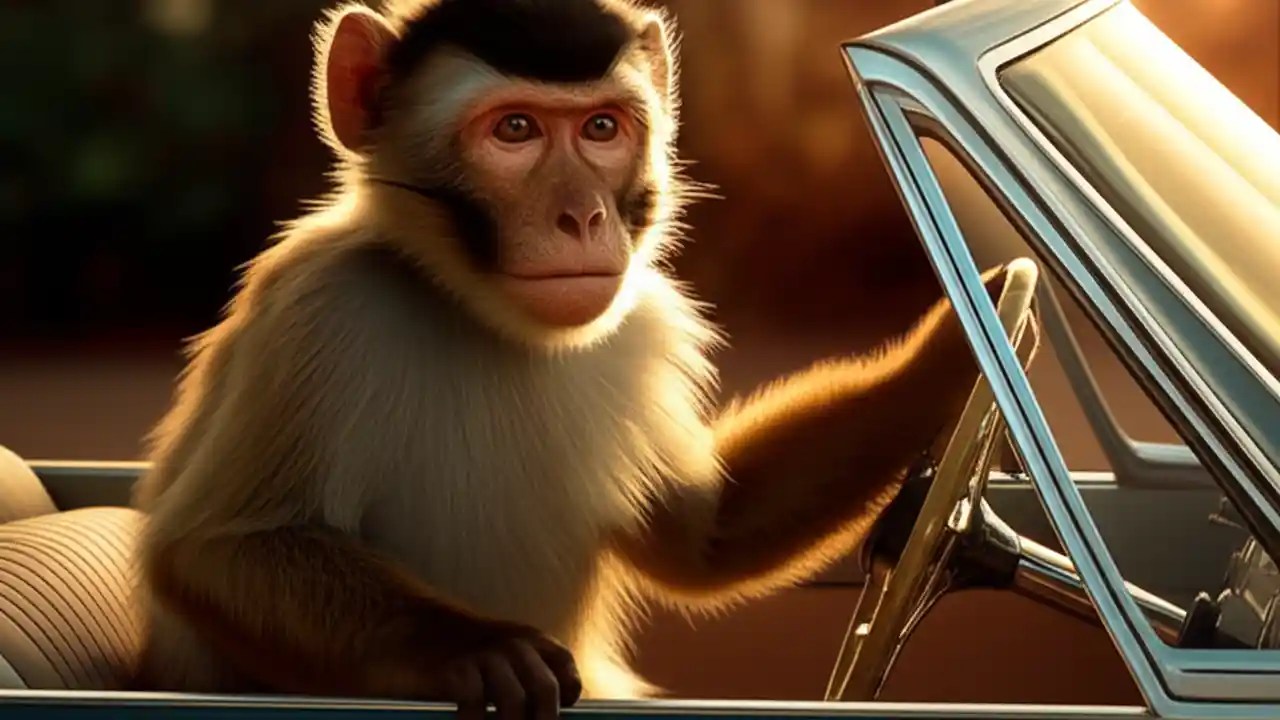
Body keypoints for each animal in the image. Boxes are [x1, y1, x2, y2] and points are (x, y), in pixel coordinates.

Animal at [129, 0, 1037, 718]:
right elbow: (217, 551)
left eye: (602, 128)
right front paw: (467, 647)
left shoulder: (639, 329)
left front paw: (962, 345)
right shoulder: (318, 312)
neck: (485, 319)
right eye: (515, 130)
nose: (582, 217)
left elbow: (707, 534)